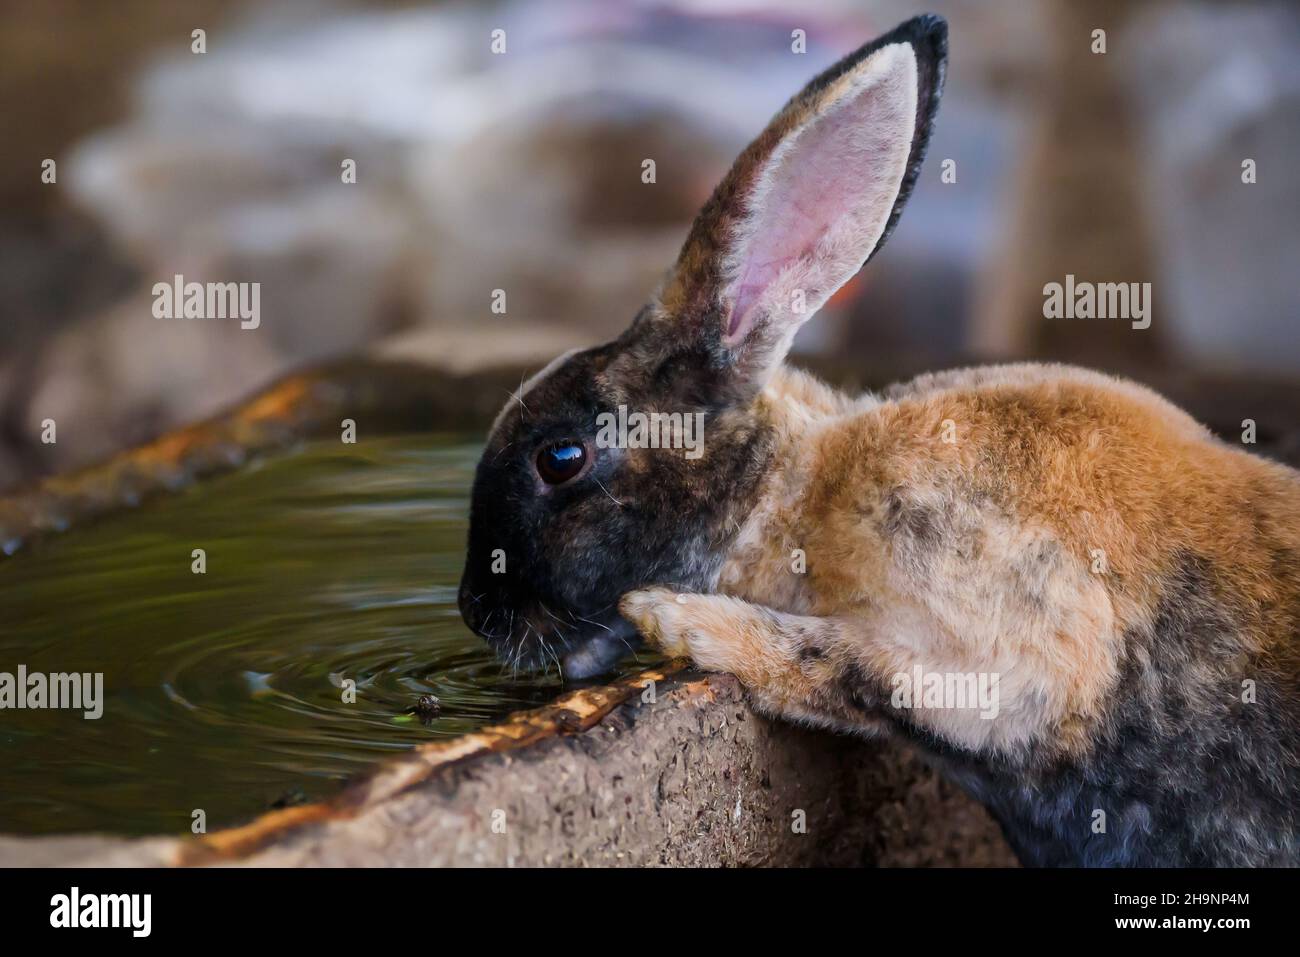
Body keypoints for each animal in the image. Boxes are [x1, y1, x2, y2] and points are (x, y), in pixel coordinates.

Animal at [458, 14, 1300, 867]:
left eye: (560, 459)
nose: (476, 612)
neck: (792, 486)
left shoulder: (1018, 650)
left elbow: (841, 662)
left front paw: (680, 618)